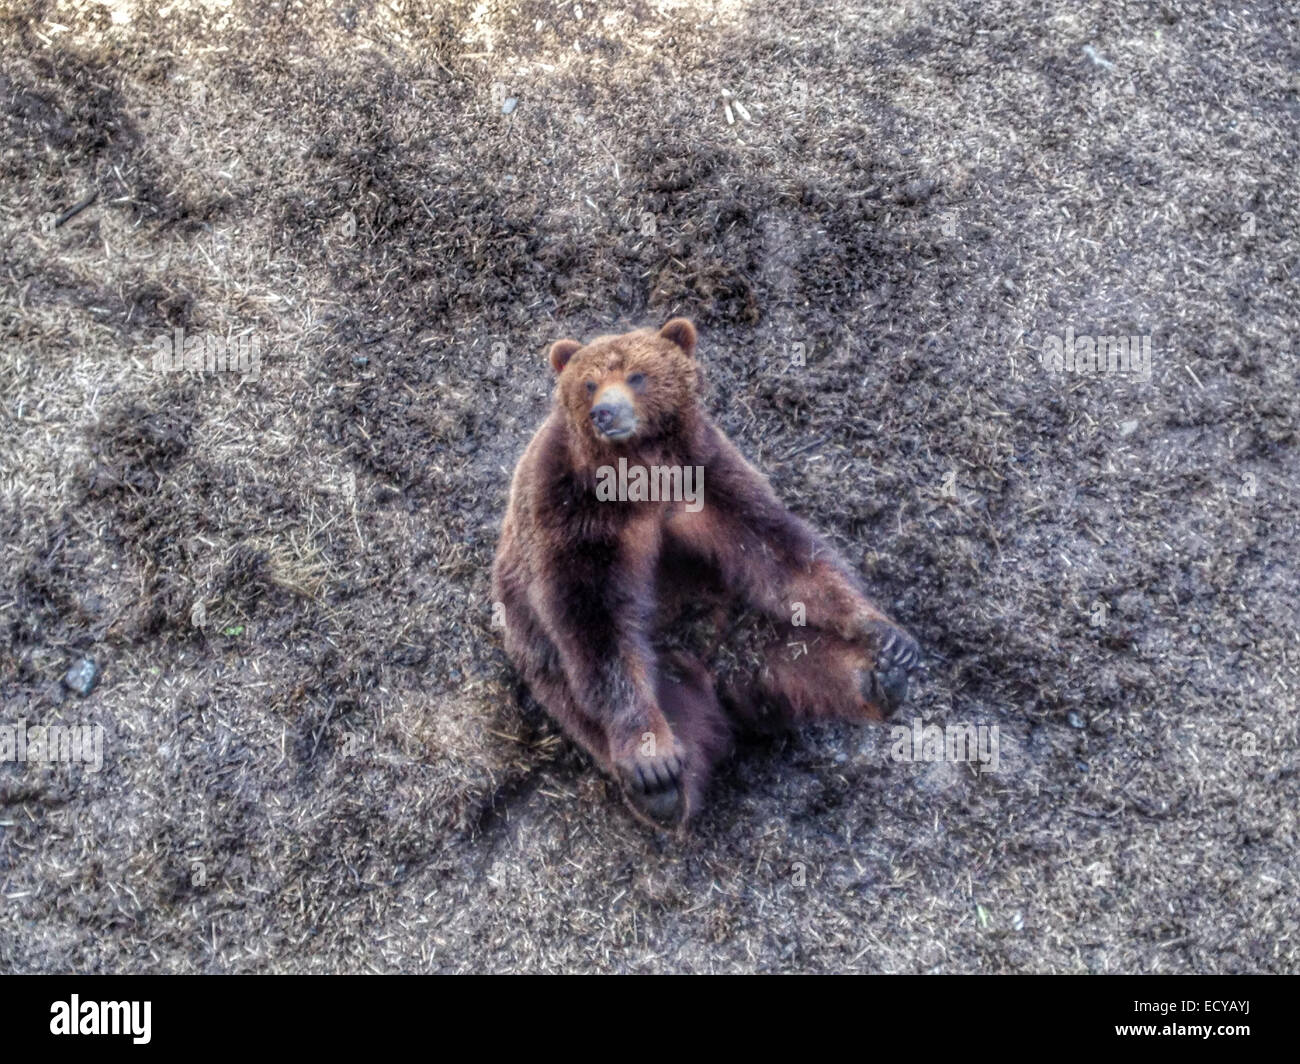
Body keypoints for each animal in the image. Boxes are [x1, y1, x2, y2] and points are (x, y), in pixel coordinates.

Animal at [491, 318, 919, 829]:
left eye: (637, 375)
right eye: (589, 383)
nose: (604, 413)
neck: (638, 471)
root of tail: (714, 680)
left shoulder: (707, 477)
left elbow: (780, 554)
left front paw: (885, 632)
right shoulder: (572, 508)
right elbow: (594, 619)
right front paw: (651, 758)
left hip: (732, 622)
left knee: (791, 651)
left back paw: (878, 677)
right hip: (594, 663)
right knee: (602, 701)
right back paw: (664, 789)